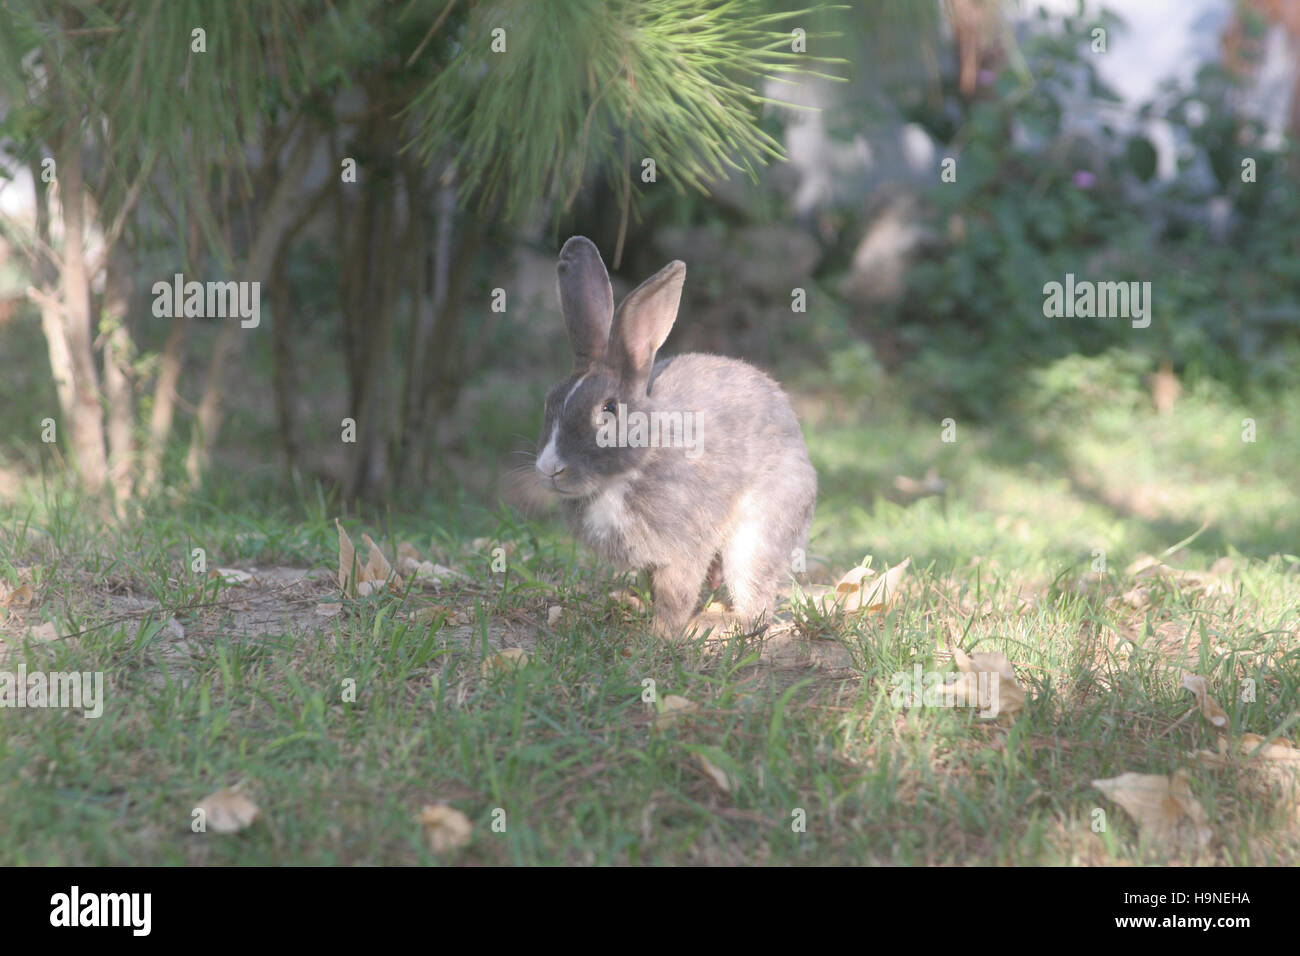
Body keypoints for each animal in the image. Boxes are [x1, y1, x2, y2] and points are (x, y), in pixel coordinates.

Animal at [534, 235, 817, 638]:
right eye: (550, 399)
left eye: (608, 410)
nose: (549, 469)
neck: (631, 468)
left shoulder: (683, 550)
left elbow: (674, 596)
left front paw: (659, 635)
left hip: (756, 538)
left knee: (756, 604)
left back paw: (716, 626)